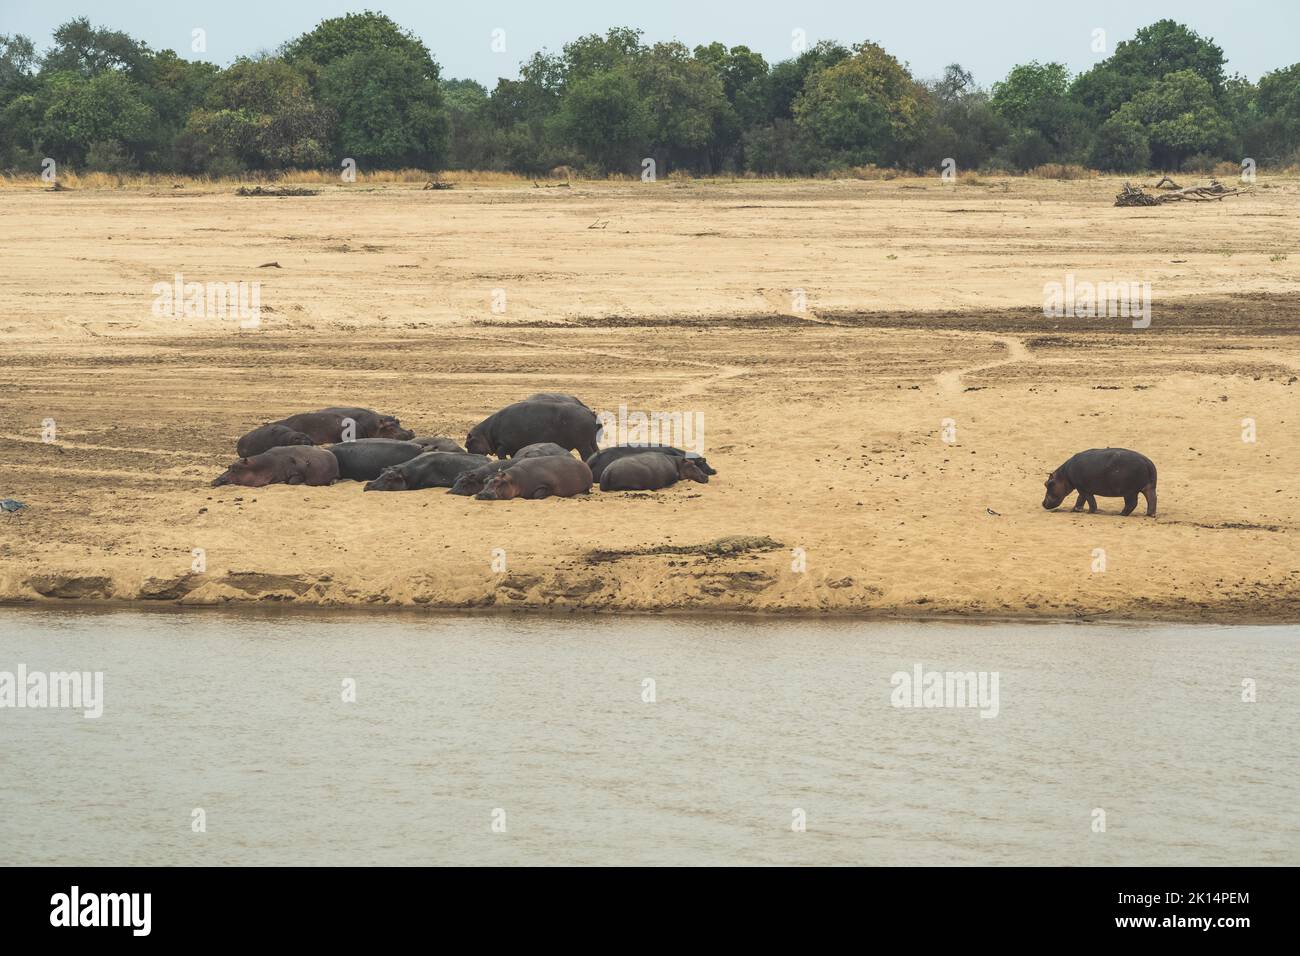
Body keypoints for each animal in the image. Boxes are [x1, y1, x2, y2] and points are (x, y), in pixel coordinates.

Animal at [466, 401, 600, 459]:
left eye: (467, 444)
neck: (486, 433)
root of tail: (590, 412)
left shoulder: (503, 445)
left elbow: (501, 455)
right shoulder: (514, 448)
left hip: (583, 444)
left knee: (587, 455)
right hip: (591, 441)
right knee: (596, 451)